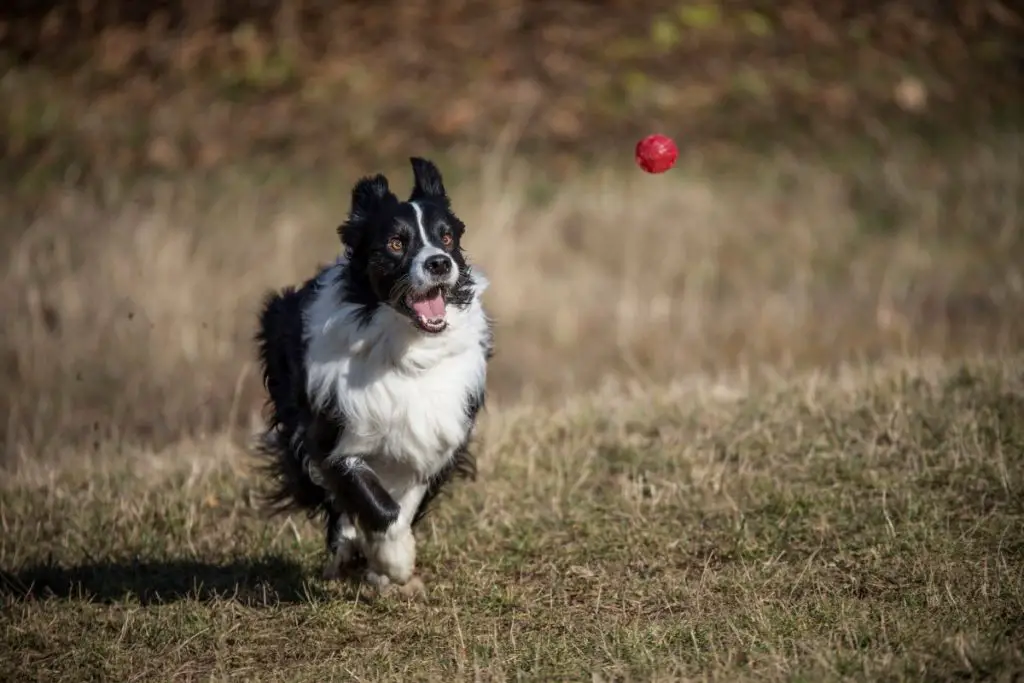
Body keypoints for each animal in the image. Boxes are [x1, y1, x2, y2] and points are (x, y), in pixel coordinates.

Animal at [256, 157, 495, 589]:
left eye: (447, 237)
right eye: (396, 243)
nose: (439, 262)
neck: (407, 347)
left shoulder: (437, 432)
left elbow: (406, 501)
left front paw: (386, 562)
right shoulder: (331, 429)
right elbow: (367, 494)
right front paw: (394, 560)